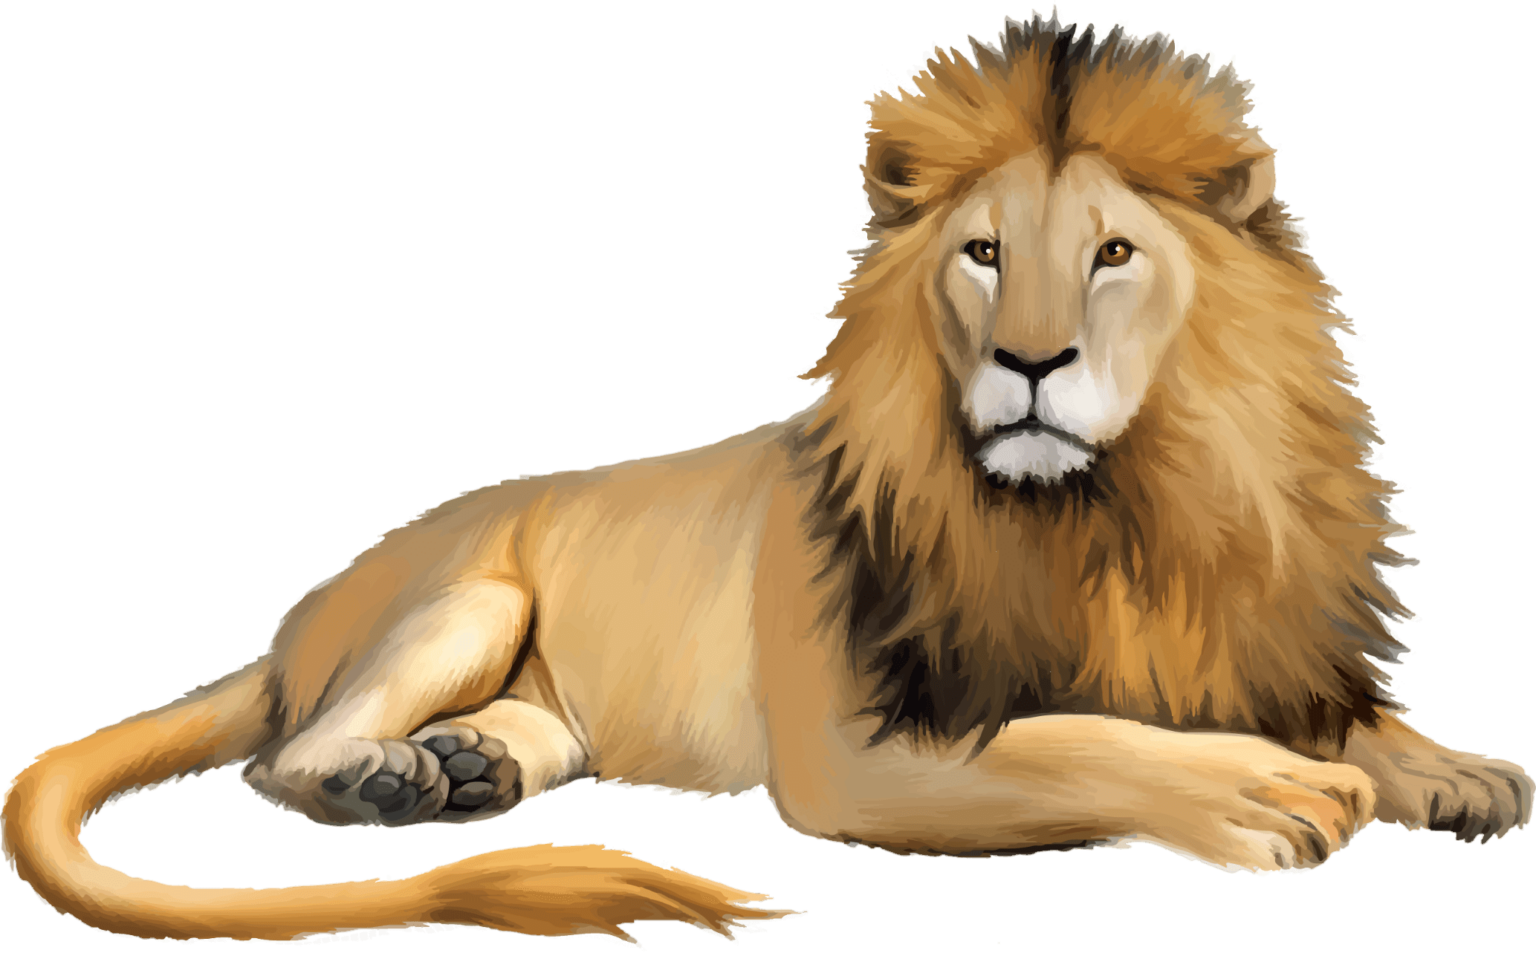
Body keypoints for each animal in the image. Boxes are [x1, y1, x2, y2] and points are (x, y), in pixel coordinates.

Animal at [5, 8, 1532, 945]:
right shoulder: (857, 756)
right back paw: (385, 779)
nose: (1033, 361)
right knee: (282, 759)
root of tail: (294, 620)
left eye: (1112, 253)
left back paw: (459, 768)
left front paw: (1453, 771)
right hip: (466, 598)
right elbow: (1083, 742)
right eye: (984, 253)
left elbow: (1347, 724)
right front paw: (1273, 793)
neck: (1110, 511)